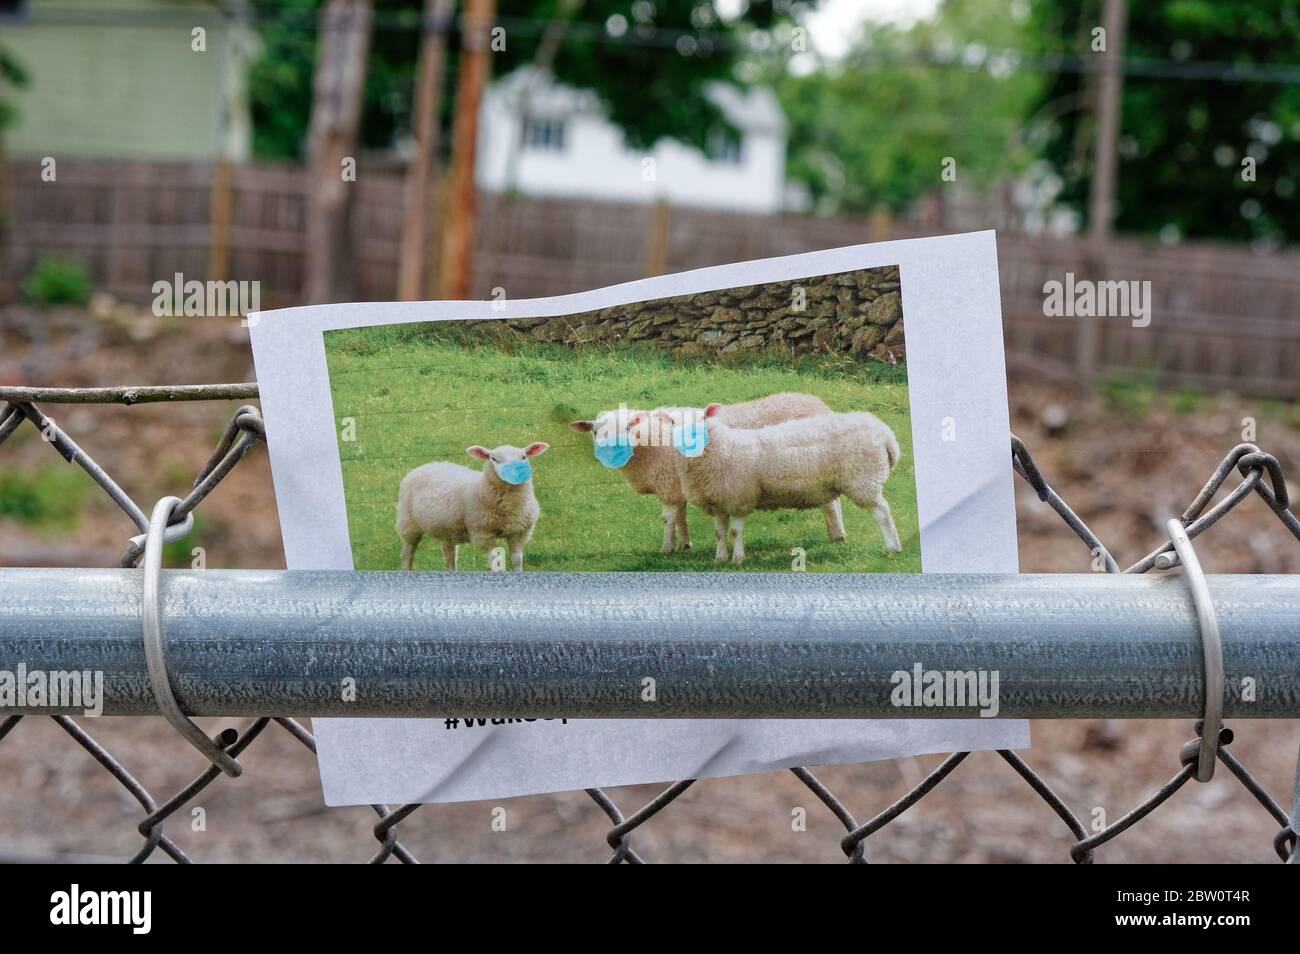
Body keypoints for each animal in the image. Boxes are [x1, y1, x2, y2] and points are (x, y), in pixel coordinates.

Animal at [396, 442, 548, 571]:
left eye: (523, 457)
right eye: (493, 459)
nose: (513, 473)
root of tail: (429, 464)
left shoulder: (518, 533)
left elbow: (517, 561)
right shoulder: (482, 534)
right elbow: (496, 562)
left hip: (447, 529)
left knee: (450, 555)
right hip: (408, 523)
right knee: (407, 553)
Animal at [569, 392, 841, 553]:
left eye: (627, 427)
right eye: (595, 432)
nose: (610, 453)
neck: (650, 440)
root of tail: (821, 406)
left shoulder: (668, 485)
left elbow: (668, 519)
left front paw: (666, 549)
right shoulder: (679, 485)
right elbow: (681, 517)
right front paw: (684, 544)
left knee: (830, 504)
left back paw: (837, 536)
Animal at [671, 403, 901, 565]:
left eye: (701, 418)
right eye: (673, 422)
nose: (686, 439)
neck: (720, 447)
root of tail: (886, 434)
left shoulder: (740, 498)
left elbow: (735, 532)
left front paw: (738, 559)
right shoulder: (719, 501)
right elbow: (719, 533)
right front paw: (719, 558)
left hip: (863, 480)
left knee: (882, 512)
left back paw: (893, 547)